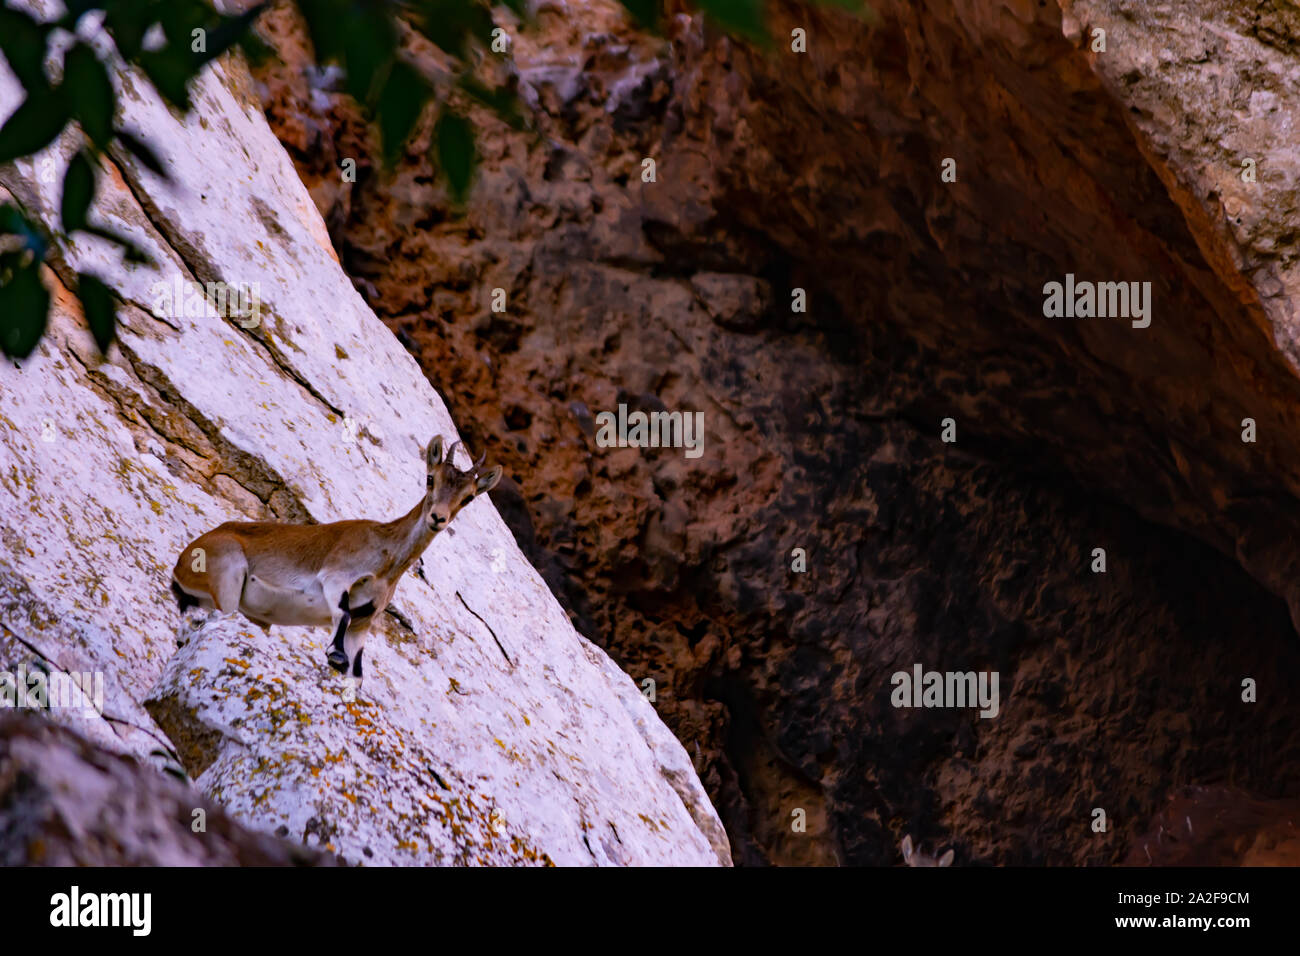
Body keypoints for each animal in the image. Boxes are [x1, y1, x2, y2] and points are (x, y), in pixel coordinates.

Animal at [170, 435, 502, 684]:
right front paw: (335, 654)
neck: (385, 561)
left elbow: (357, 670)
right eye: (430, 478)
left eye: (468, 497)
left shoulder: (365, 619)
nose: (438, 518)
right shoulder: (335, 577)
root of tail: (182, 563)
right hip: (228, 574)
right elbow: (340, 614)